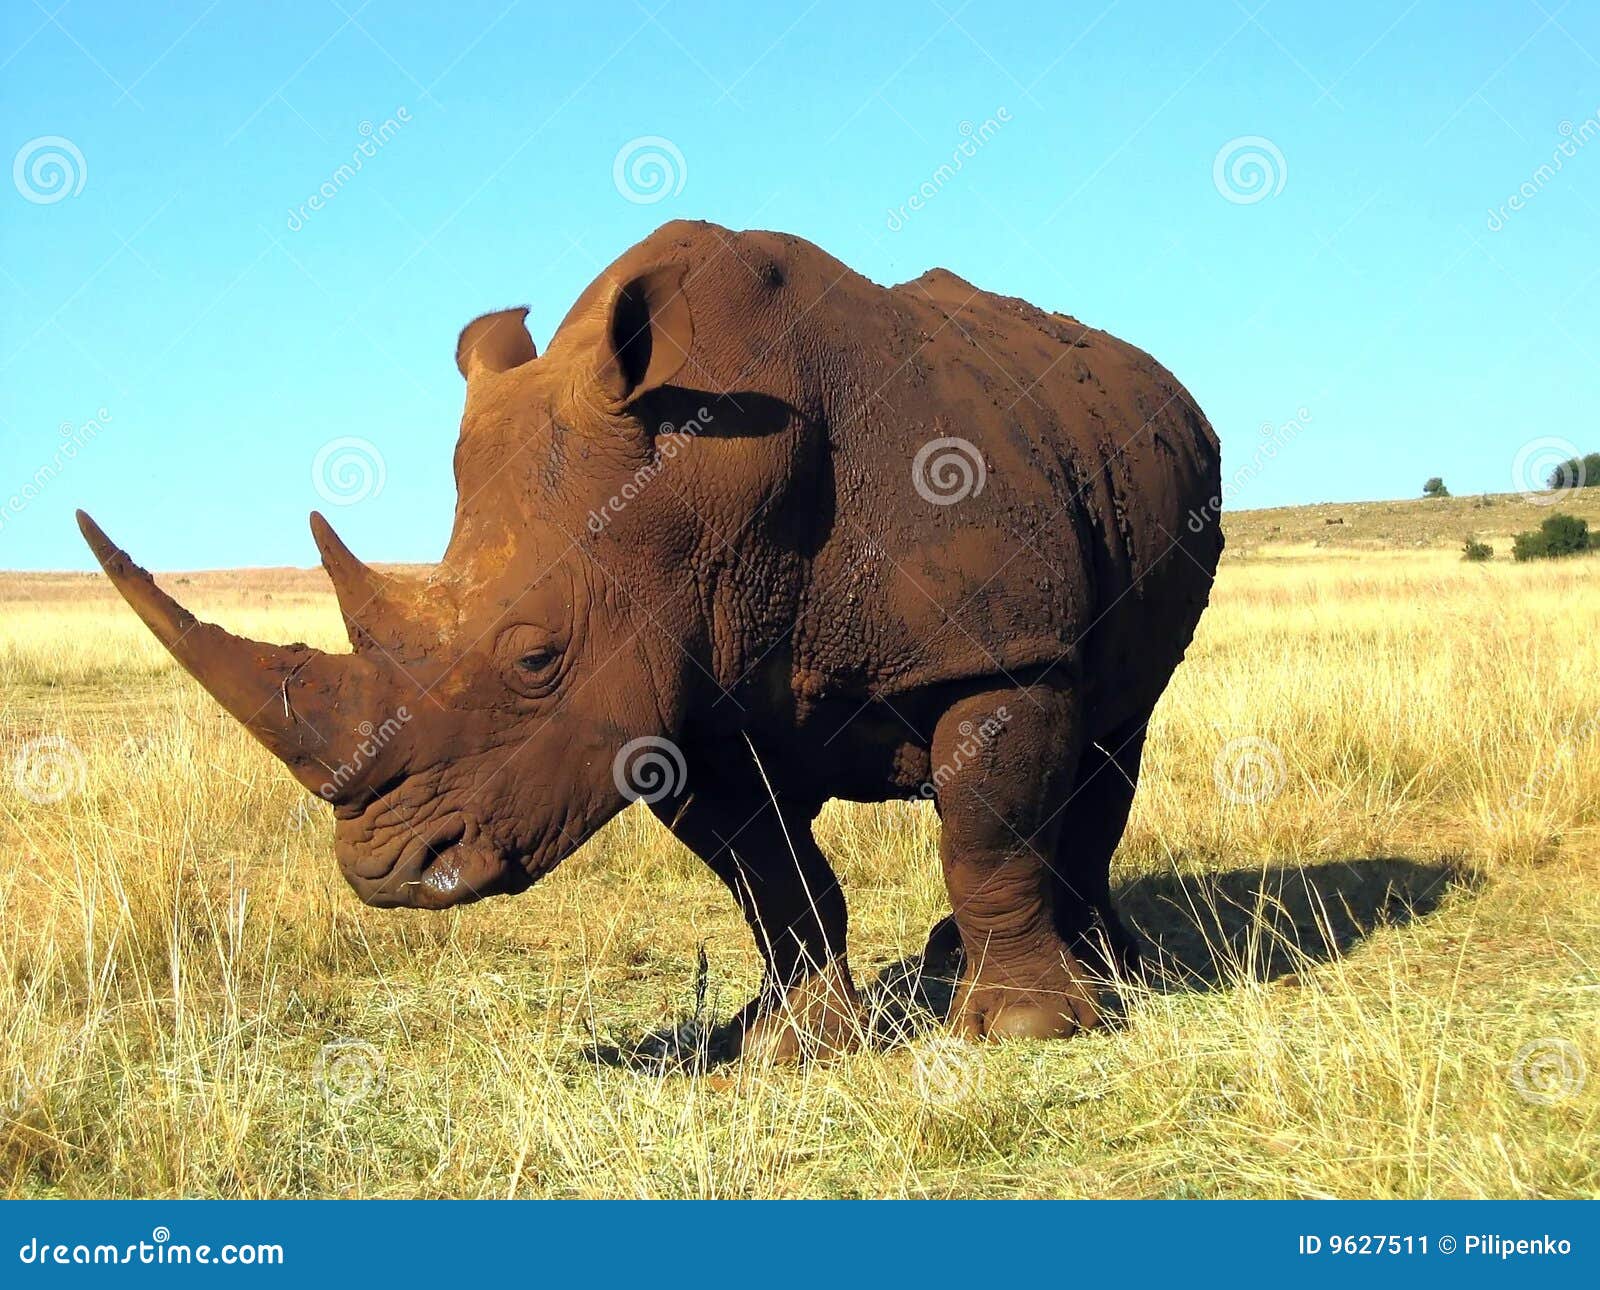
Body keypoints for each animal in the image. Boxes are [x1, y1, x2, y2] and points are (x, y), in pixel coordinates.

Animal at [79, 219, 1222, 1059]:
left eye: (536, 660)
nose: (392, 873)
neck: (704, 486)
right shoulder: (665, 687)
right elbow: (770, 875)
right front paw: (785, 1046)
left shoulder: (999, 647)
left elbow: (990, 829)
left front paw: (1025, 1031)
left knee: (1113, 729)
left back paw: (1103, 974)